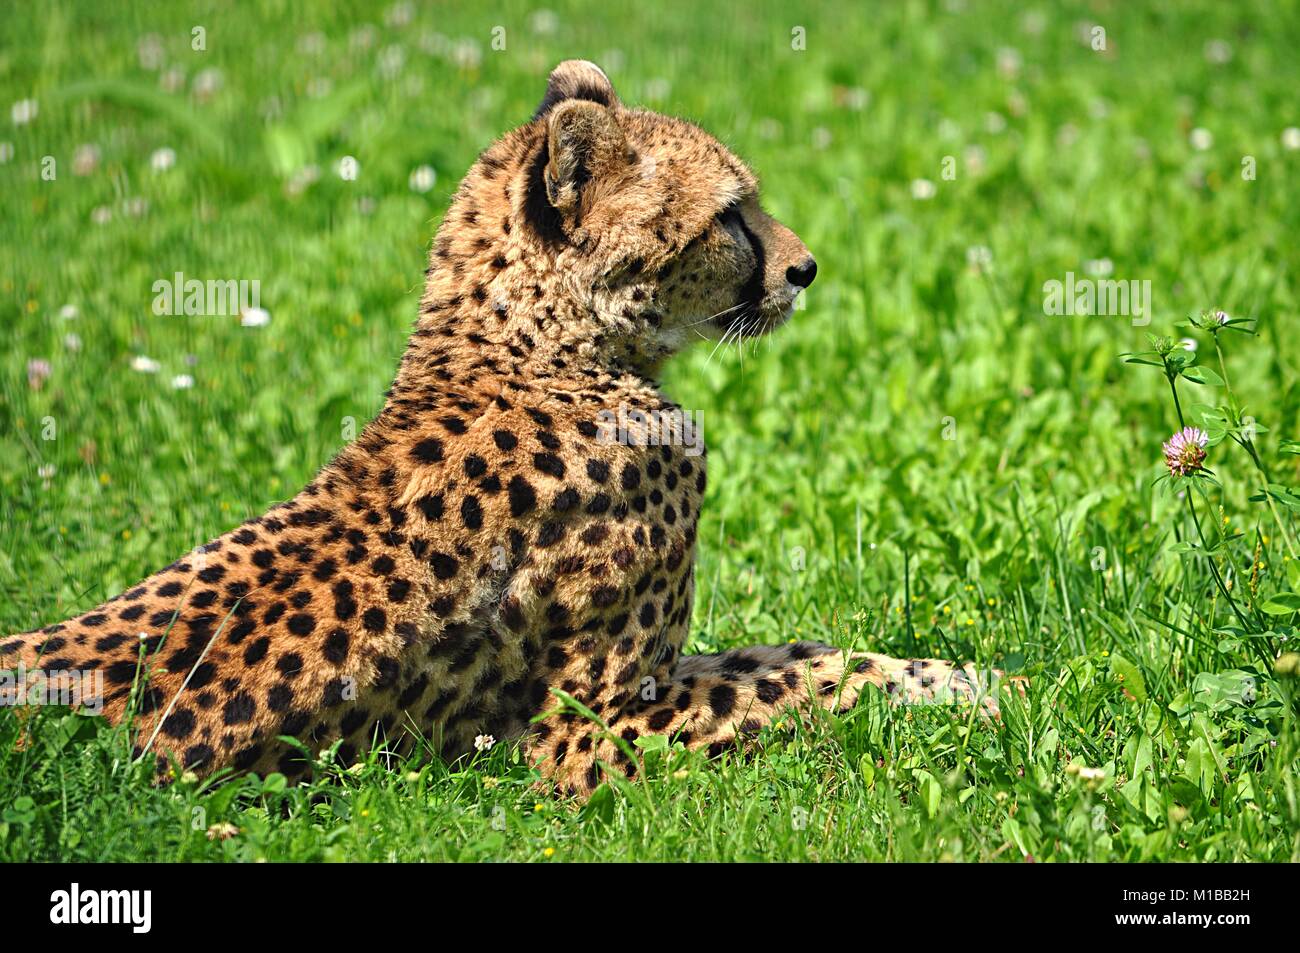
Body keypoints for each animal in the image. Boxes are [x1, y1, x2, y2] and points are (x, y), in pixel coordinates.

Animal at [2, 61, 1007, 797]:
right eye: (729, 215)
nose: (805, 269)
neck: (544, 344)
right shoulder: (582, 732)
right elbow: (794, 681)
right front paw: (974, 696)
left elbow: (792, 651)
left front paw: (970, 679)